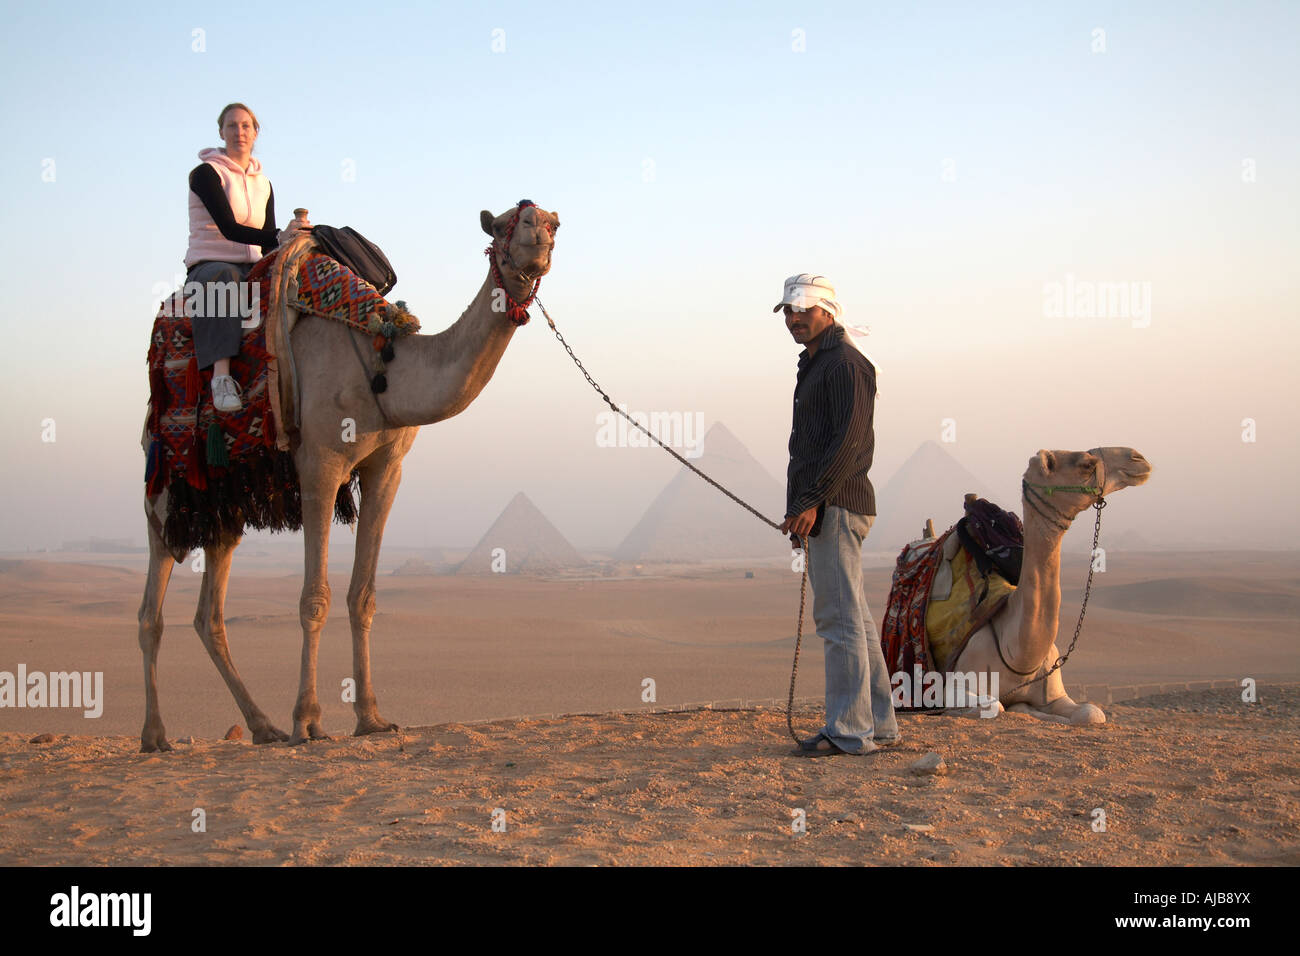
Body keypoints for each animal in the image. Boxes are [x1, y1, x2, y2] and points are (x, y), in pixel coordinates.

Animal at [137, 202, 559, 752]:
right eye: (505, 223)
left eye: (554, 222)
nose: (540, 233)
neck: (385, 367)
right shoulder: (320, 465)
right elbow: (314, 599)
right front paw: (308, 720)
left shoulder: (387, 470)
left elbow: (363, 597)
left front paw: (371, 716)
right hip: (166, 491)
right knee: (151, 610)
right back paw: (155, 735)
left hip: (224, 505)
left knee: (209, 614)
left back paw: (263, 726)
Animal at [939, 447, 1151, 725]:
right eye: (1086, 463)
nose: (1138, 458)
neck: (1018, 654)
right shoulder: (955, 685)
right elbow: (995, 706)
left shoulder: (1055, 693)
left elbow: (1091, 713)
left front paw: (1034, 711)